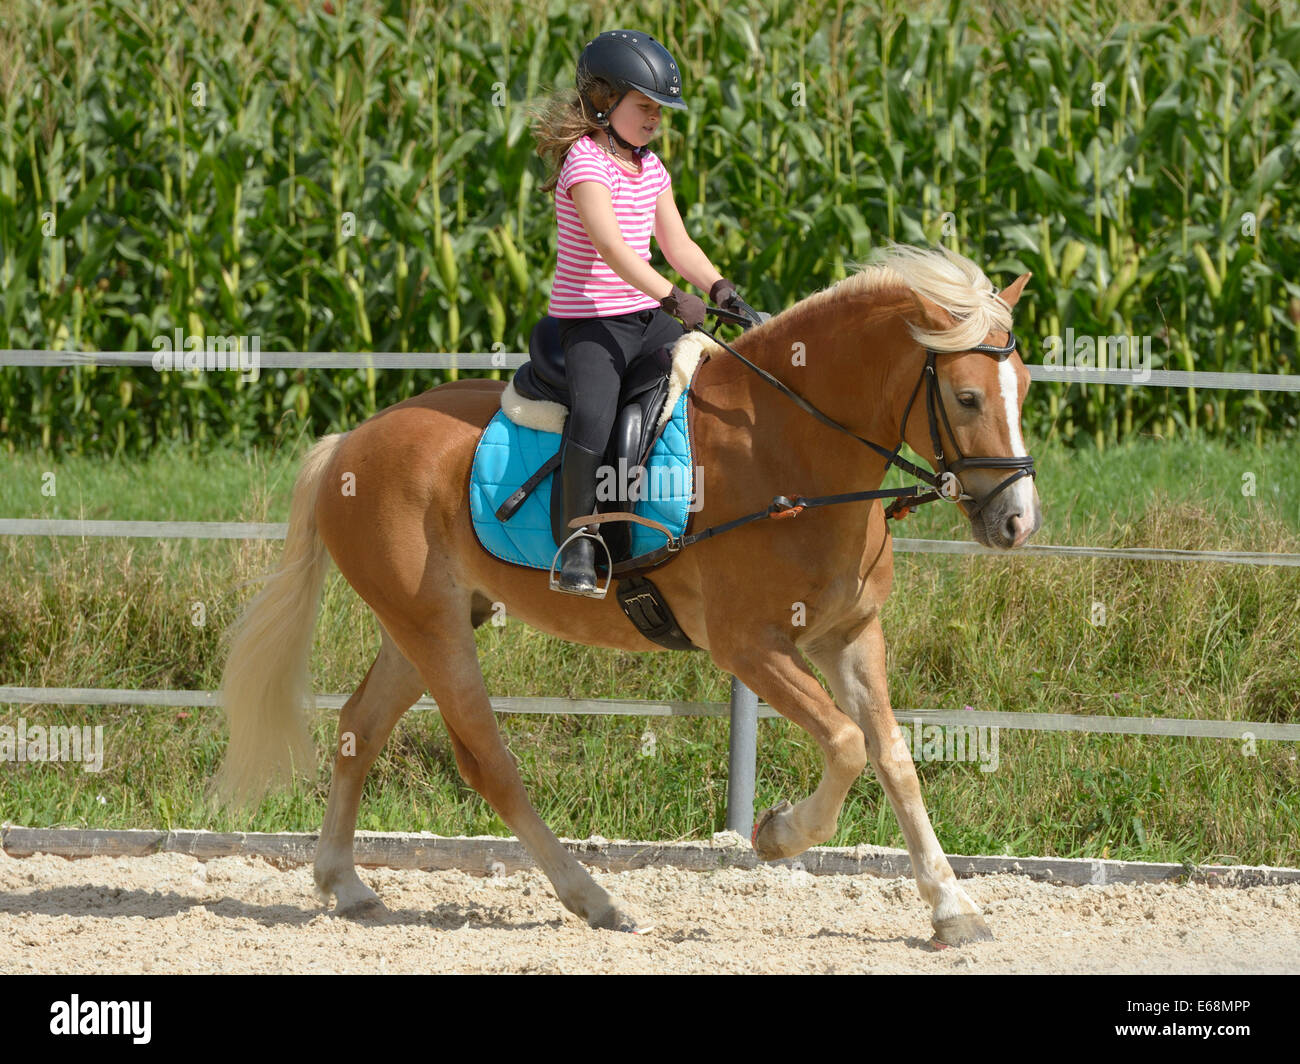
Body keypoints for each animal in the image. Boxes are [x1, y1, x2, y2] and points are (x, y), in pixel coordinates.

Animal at [210, 244, 1041, 946]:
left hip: (418, 627)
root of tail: (349, 443)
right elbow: (844, 743)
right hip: (434, 629)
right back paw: (596, 899)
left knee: (359, 727)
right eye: (968, 397)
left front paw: (953, 909)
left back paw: (346, 884)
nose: (1018, 521)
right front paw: (776, 834)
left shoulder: (852, 633)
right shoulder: (749, 646)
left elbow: (893, 756)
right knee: (488, 762)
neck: (789, 444)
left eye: (1026, 388)